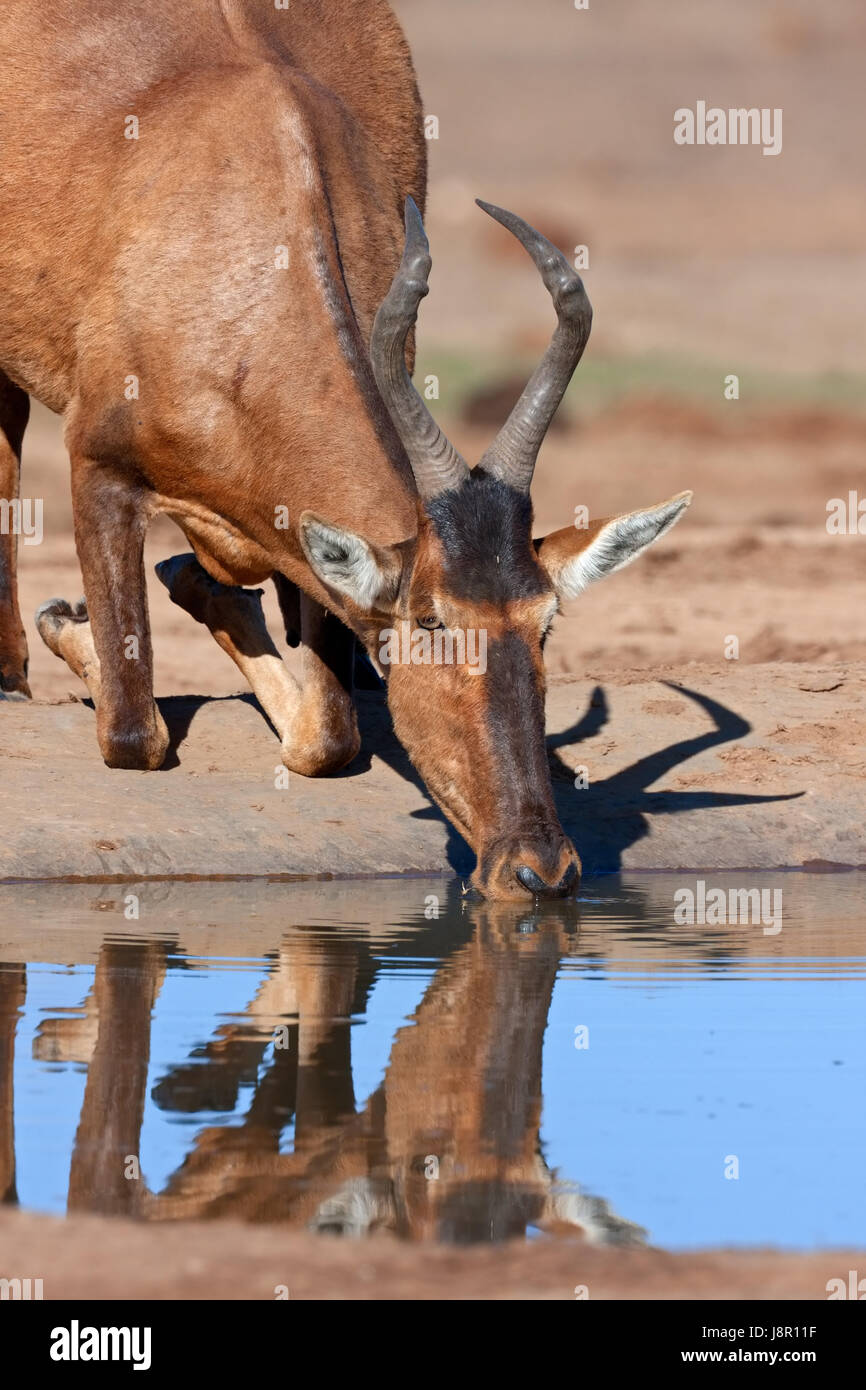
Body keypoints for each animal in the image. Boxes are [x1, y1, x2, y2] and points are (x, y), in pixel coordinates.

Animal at [0, 0, 691, 901]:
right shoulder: (99, 471)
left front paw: (201, 588)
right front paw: (70, 622)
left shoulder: (313, 555)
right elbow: (132, 733)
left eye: (545, 623)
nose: (541, 867)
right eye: (432, 619)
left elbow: (329, 738)